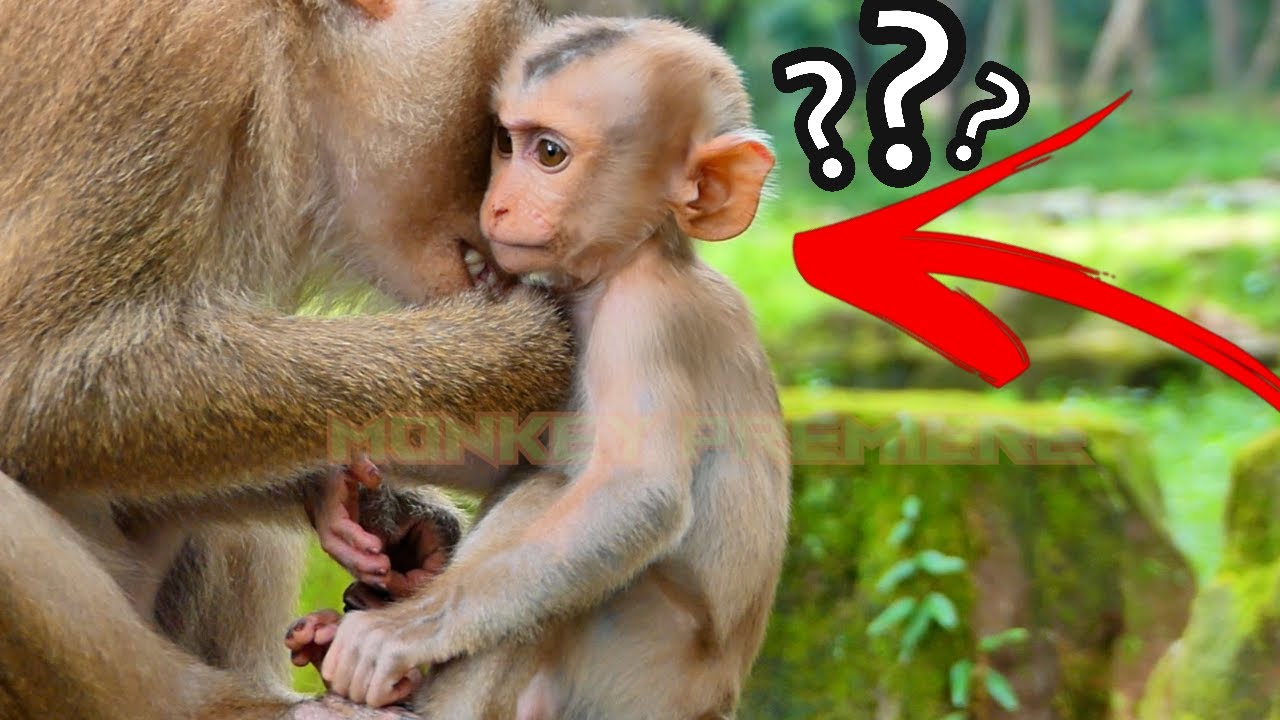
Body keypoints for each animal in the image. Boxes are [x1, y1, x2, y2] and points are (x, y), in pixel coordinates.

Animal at [0, 0, 574, 718]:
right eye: (512, 142)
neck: (288, 38)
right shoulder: (177, 59)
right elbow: (38, 380)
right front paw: (518, 352)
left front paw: (377, 513)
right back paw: (218, 705)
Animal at [298, 17, 791, 719]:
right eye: (506, 144)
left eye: (551, 154)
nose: (499, 204)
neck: (621, 265)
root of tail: (717, 704)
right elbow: (512, 447)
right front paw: (339, 485)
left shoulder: (649, 322)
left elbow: (633, 494)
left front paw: (397, 634)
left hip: (637, 678)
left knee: (549, 496)